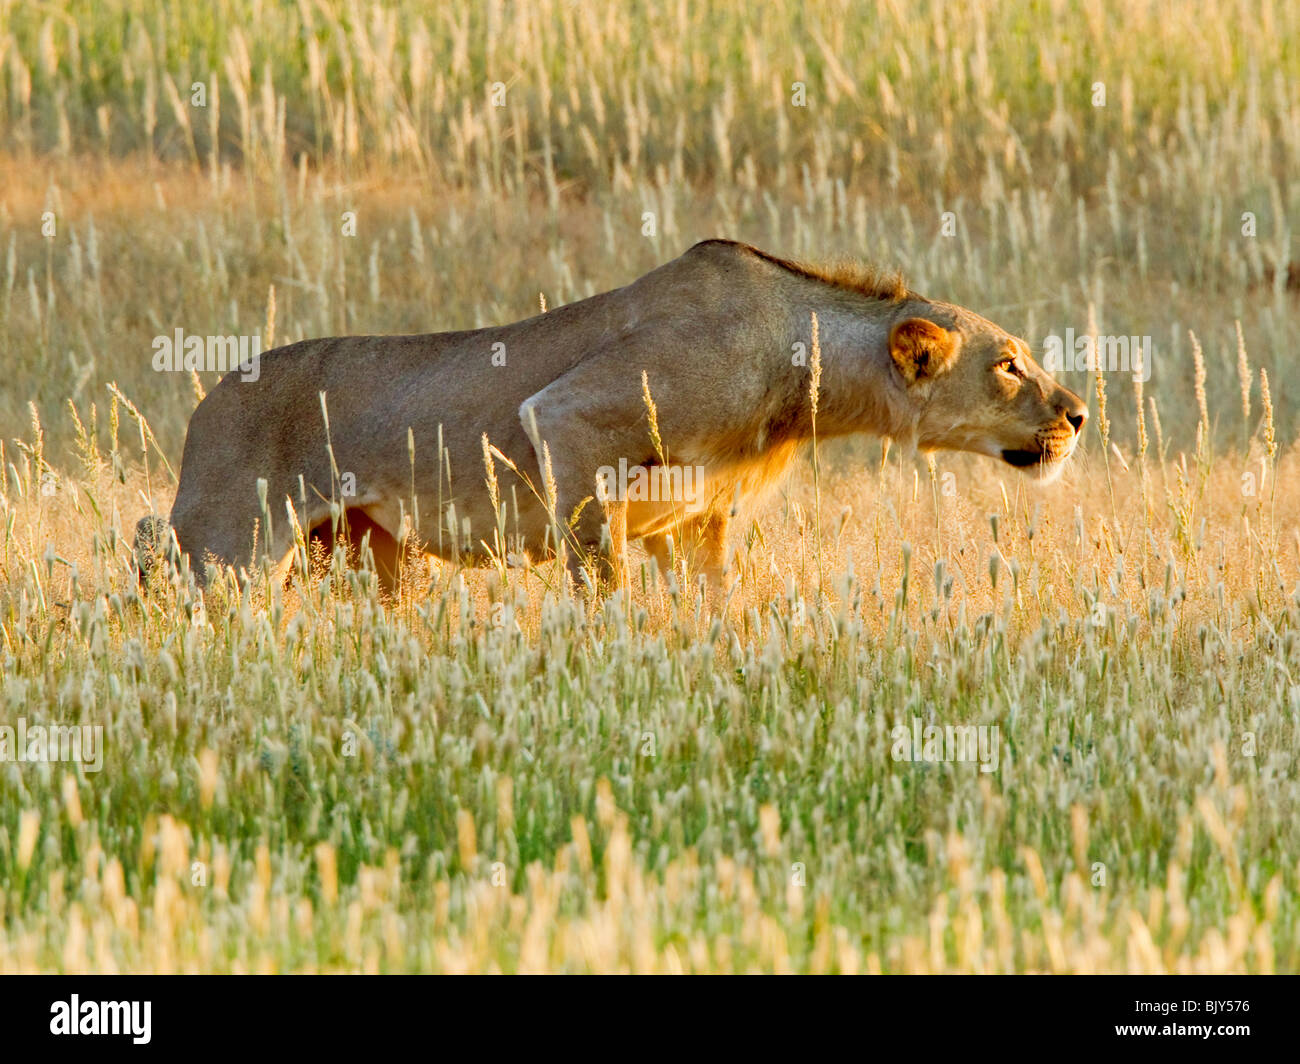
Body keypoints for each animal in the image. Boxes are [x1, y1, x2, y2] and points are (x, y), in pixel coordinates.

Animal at [134, 239, 1087, 594]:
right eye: (1009, 365)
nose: (1078, 413)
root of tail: (207, 397)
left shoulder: (701, 518)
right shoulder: (569, 417)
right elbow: (600, 576)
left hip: (372, 555)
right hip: (227, 543)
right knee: (155, 556)